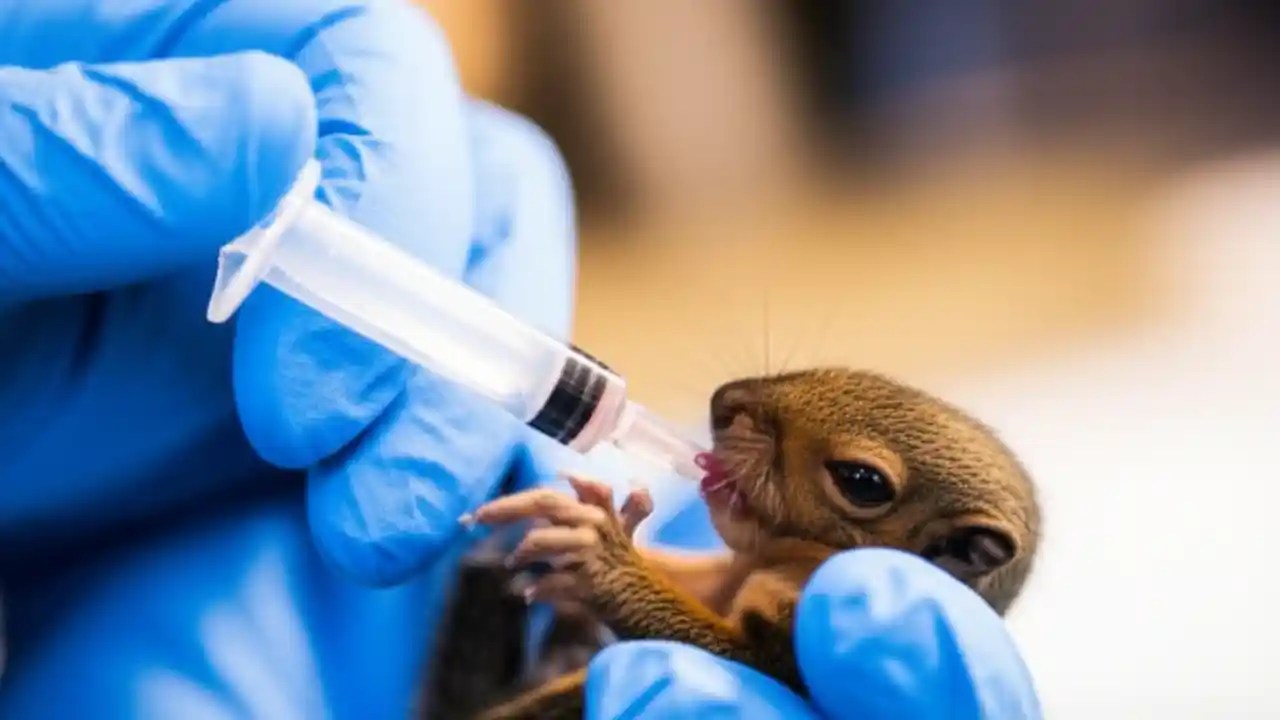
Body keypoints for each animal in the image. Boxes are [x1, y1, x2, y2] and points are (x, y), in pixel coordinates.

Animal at [422, 367, 1041, 719]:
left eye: (862, 481)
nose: (726, 402)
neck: (774, 561)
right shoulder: (723, 572)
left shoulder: (786, 652)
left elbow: (731, 657)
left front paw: (601, 556)